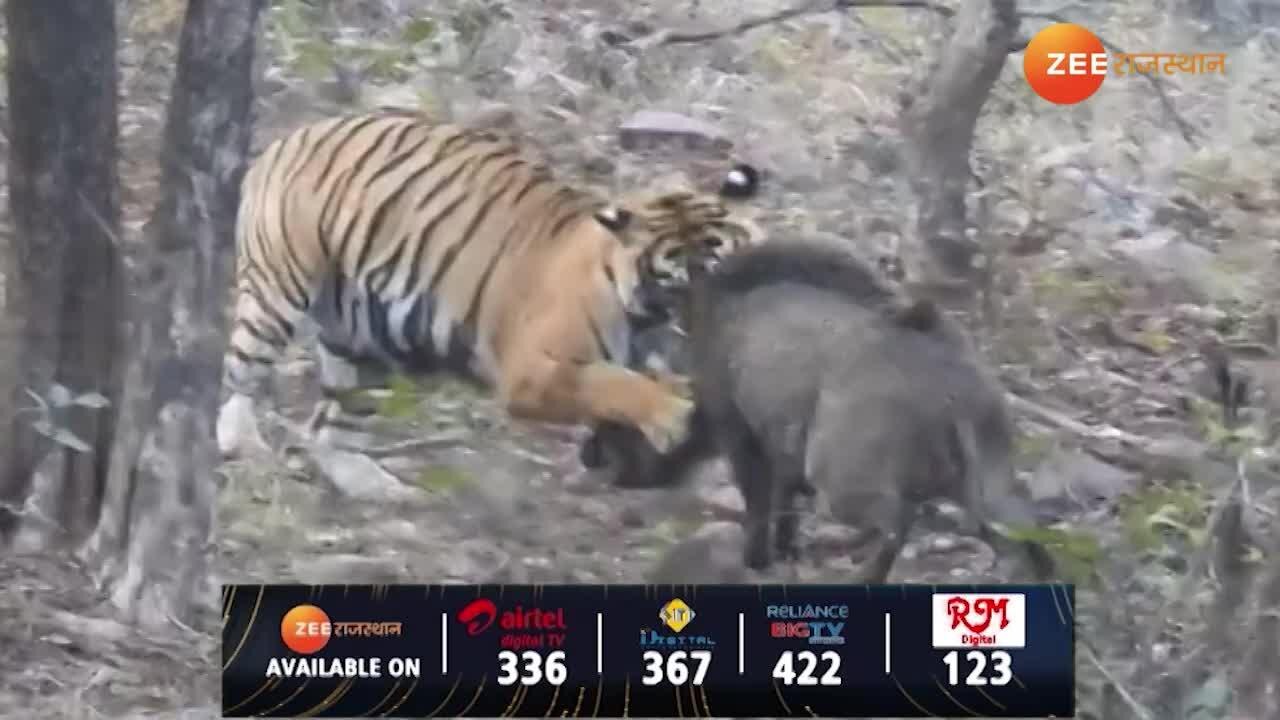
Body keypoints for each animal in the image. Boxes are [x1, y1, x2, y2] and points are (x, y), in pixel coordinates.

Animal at [215, 109, 766, 461]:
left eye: (724, 276)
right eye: (674, 286)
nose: (702, 330)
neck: (647, 319)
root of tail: (292, 137)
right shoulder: (532, 368)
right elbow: (610, 382)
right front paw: (670, 416)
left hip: (357, 335)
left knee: (336, 420)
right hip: (277, 288)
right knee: (240, 372)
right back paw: (241, 442)